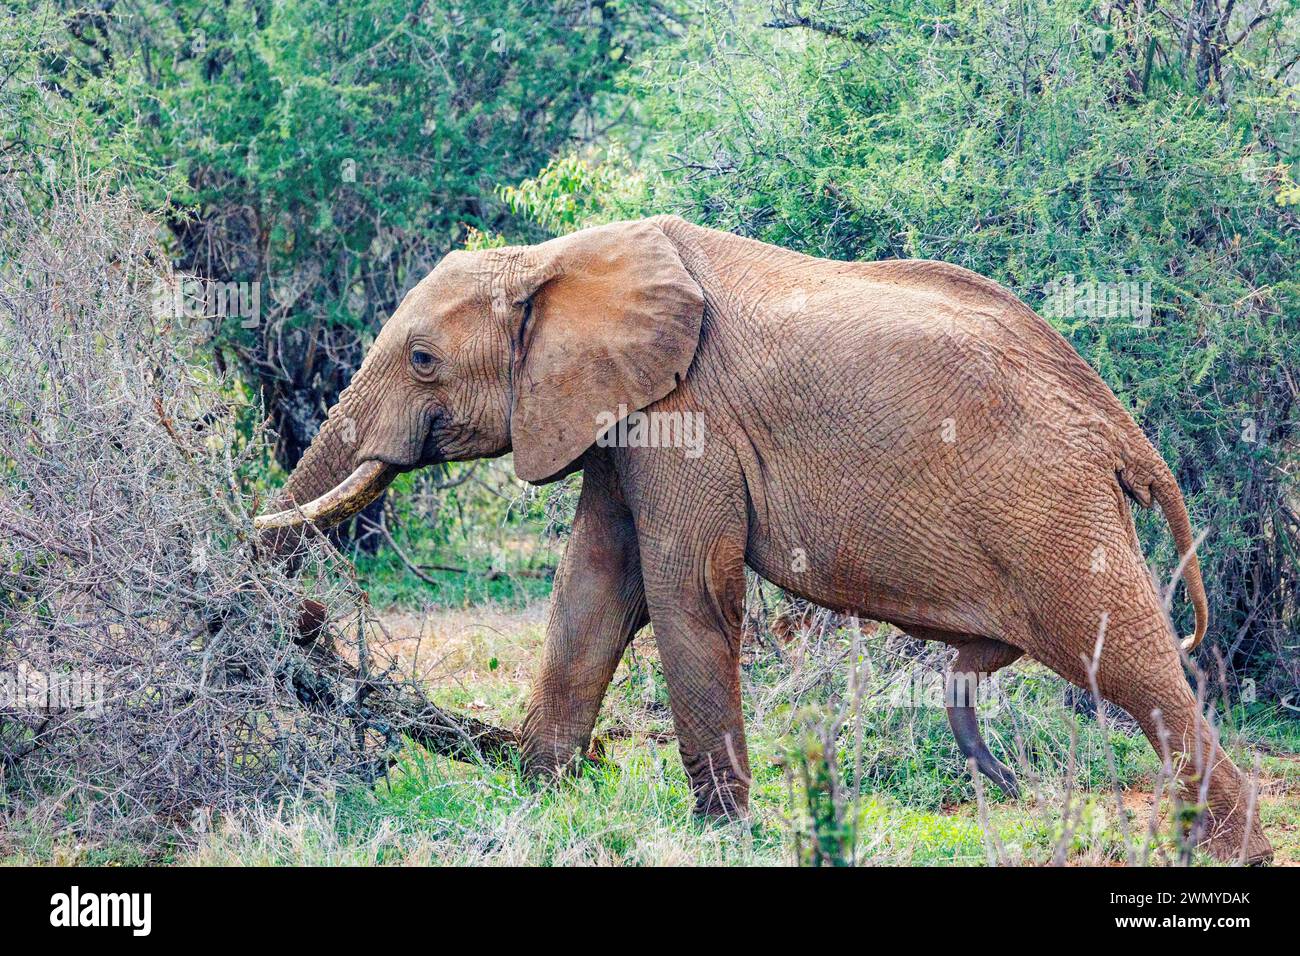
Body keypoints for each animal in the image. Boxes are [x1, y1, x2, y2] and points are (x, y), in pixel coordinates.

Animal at [256, 215, 1271, 863]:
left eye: (423, 360)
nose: (304, 623)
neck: (555, 258)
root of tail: (1121, 430)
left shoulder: (686, 414)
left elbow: (680, 592)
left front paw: (723, 833)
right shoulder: (622, 412)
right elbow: (594, 587)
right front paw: (544, 799)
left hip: (1052, 511)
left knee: (1132, 665)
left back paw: (1240, 854)